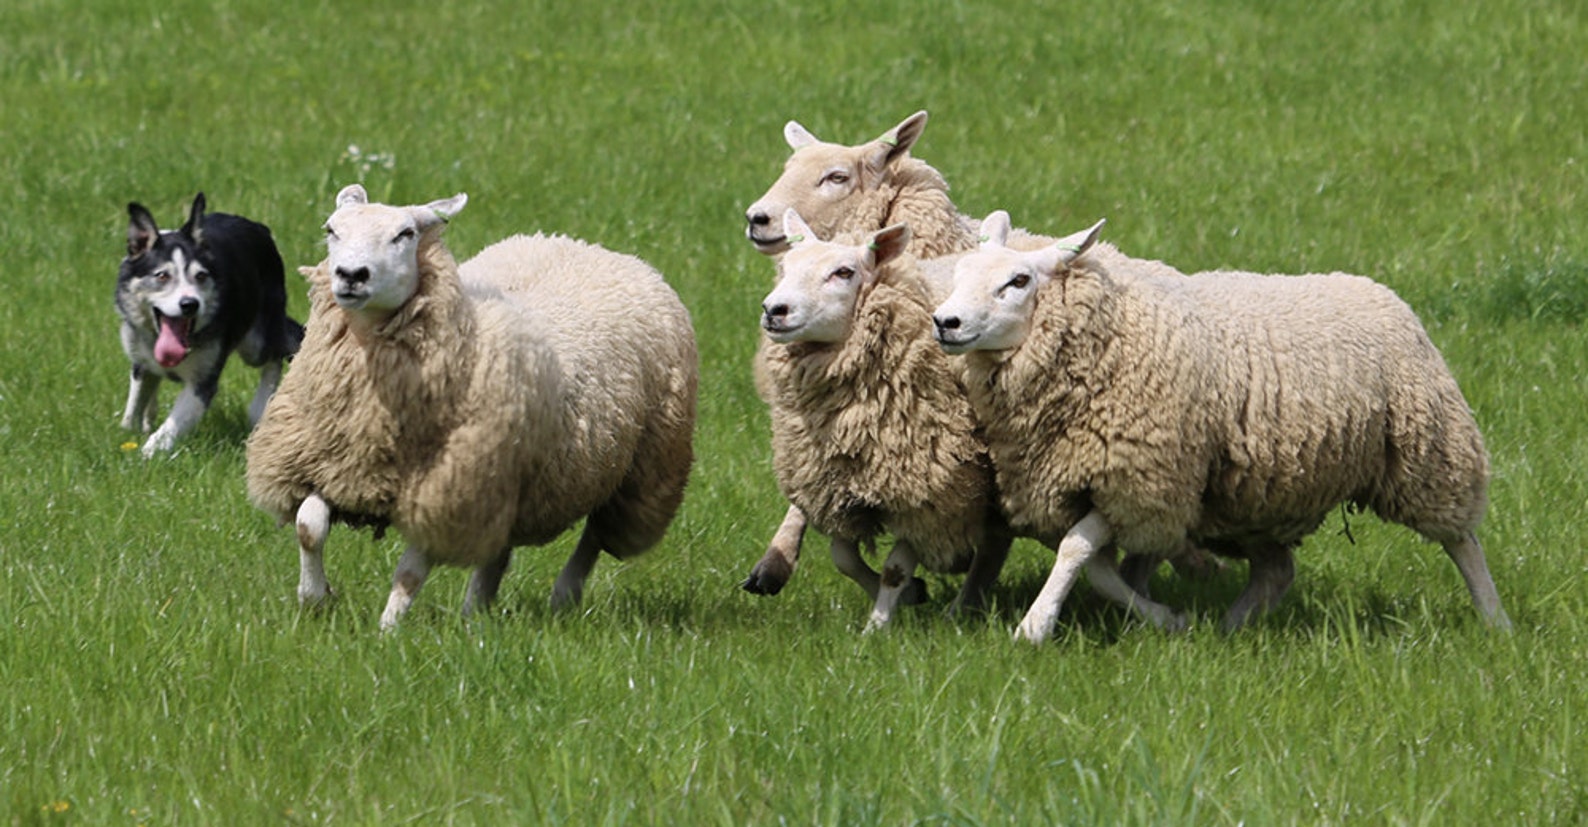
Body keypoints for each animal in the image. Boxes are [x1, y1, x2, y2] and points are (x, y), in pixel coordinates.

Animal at [245, 184, 697, 630]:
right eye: (331, 229)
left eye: (406, 234)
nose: (352, 275)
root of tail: (596, 249)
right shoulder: (327, 464)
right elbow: (309, 526)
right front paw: (315, 597)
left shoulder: (449, 491)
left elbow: (410, 572)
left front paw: (387, 632)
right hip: (512, 483)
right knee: (498, 549)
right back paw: (475, 615)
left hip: (641, 470)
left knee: (595, 538)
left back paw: (562, 596)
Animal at [756, 209, 1011, 629]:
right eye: (787, 267)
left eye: (843, 272)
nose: (774, 310)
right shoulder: (838, 485)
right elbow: (843, 558)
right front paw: (911, 594)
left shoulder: (927, 491)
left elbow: (895, 567)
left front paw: (876, 627)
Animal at [932, 210, 1512, 643]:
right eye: (959, 275)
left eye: (1019, 281)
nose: (946, 322)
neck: (1110, 334)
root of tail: (1379, 290)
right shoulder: (1093, 484)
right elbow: (1094, 564)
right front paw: (1167, 619)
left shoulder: (1144, 479)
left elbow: (1078, 550)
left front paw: (1034, 626)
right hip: (1258, 496)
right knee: (1276, 571)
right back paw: (1228, 630)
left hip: (1428, 452)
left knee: (1462, 540)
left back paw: (1495, 620)